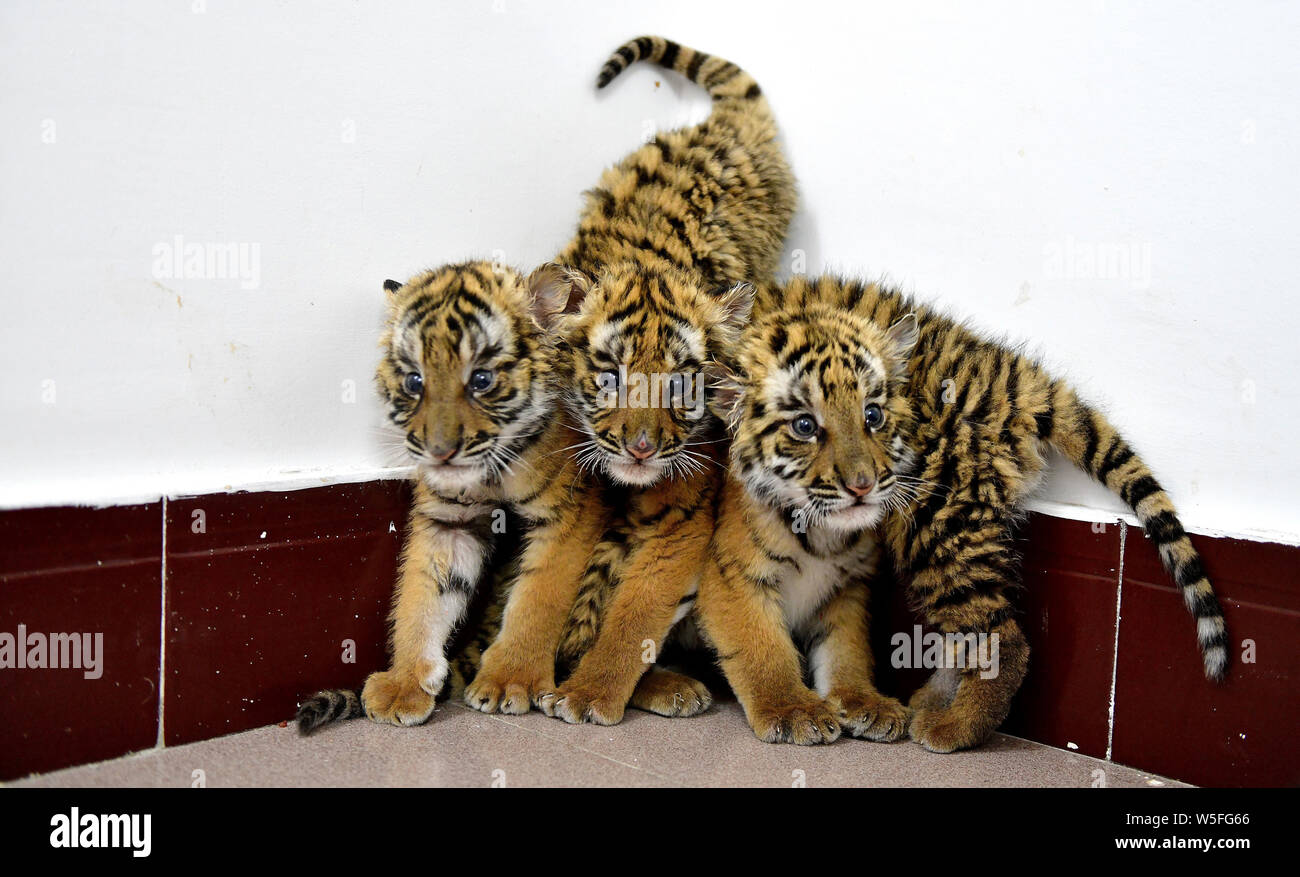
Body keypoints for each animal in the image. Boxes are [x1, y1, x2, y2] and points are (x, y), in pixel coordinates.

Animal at [696, 274, 1228, 751]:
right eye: (806, 426)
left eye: (872, 415)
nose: (861, 483)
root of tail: (1015, 379)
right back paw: (931, 705)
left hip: (934, 519)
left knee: (1004, 639)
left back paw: (954, 729)